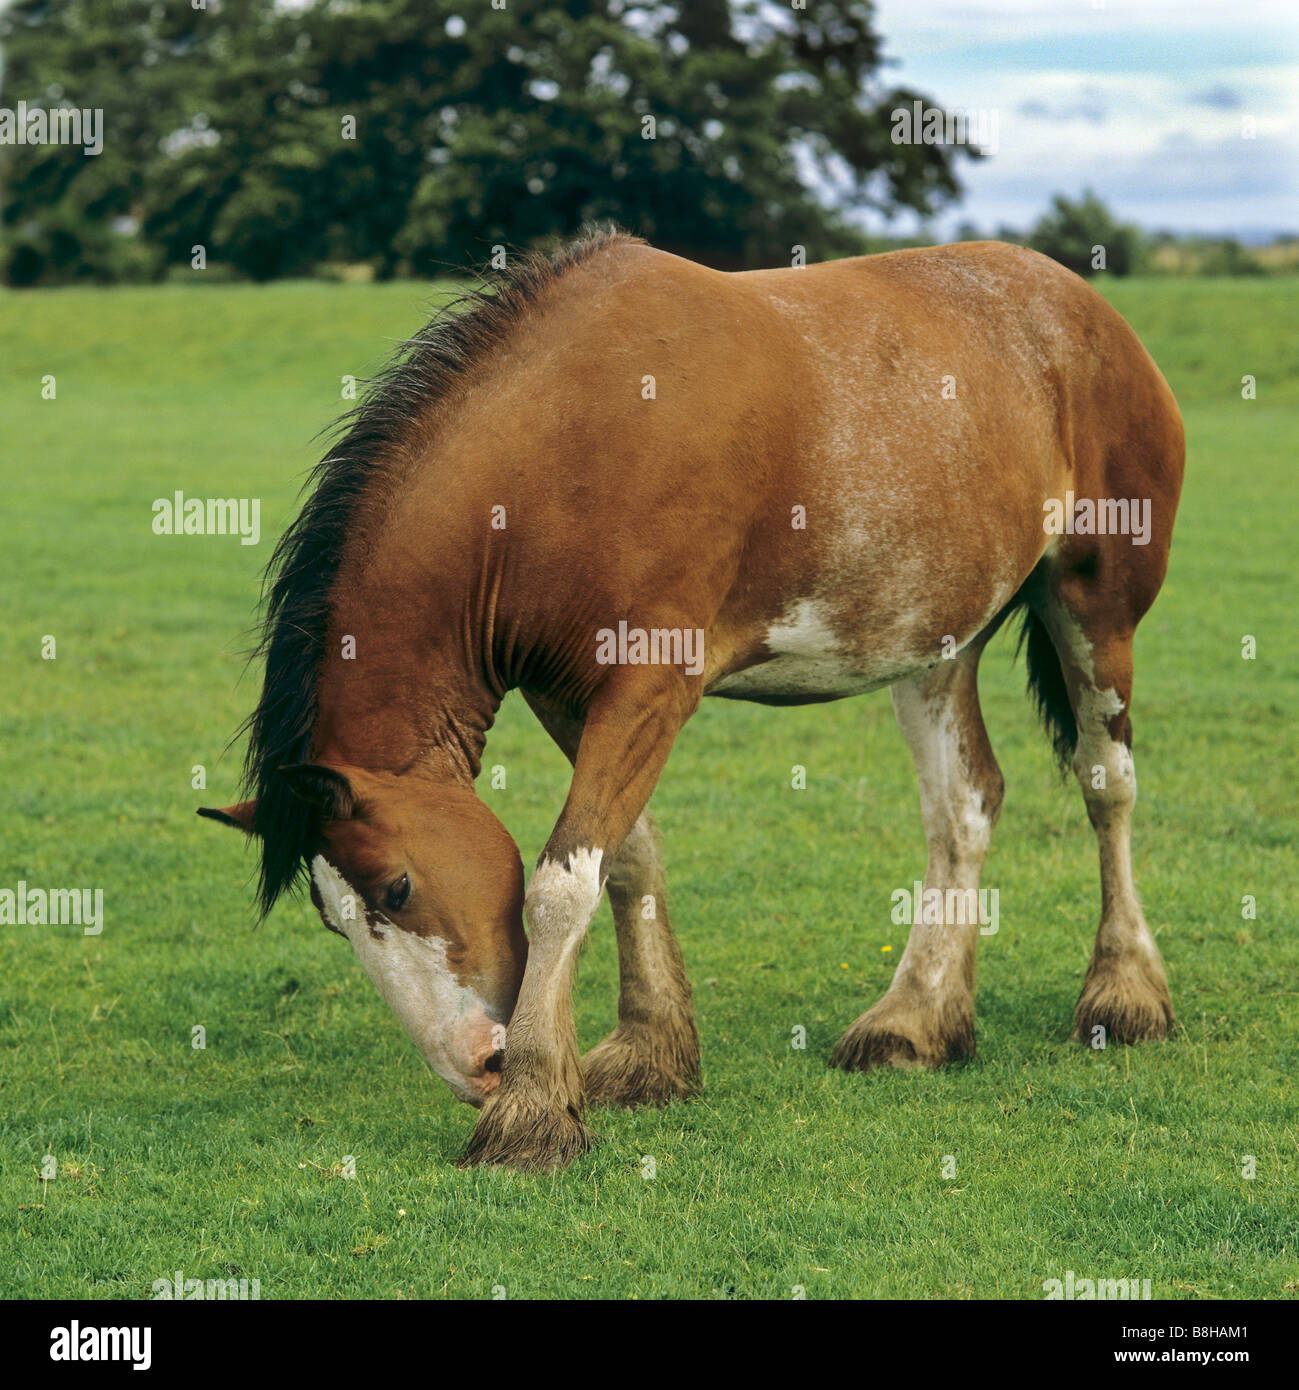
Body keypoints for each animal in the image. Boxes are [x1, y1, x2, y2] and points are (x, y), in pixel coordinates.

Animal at [200, 228, 1185, 1171]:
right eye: (331, 920)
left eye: (397, 886)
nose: (476, 1064)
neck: (572, 445)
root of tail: (1084, 307)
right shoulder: (568, 697)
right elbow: (625, 861)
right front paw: (648, 1054)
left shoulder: (649, 688)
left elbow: (561, 885)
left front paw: (530, 1110)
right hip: (932, 639)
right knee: (963, 807)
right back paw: (917, 1018)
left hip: (1094, 606)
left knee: (1106, 783)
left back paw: (1123, 990)